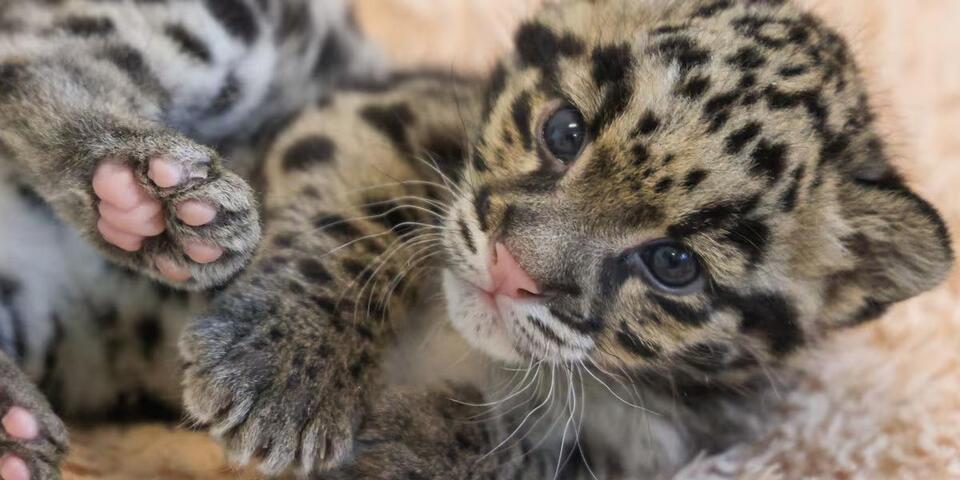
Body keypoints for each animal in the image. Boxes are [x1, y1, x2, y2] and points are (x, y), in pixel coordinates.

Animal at [0, 0, 952, 479]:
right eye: (563, 131)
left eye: (674, 265)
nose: (509, 270)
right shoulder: (381, 105)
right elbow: (365, 213)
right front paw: (285, 371)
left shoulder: (650, 444)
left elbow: (523, 447)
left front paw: (406, 441)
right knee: (35, 59)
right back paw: (145, 194)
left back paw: (14, 427)